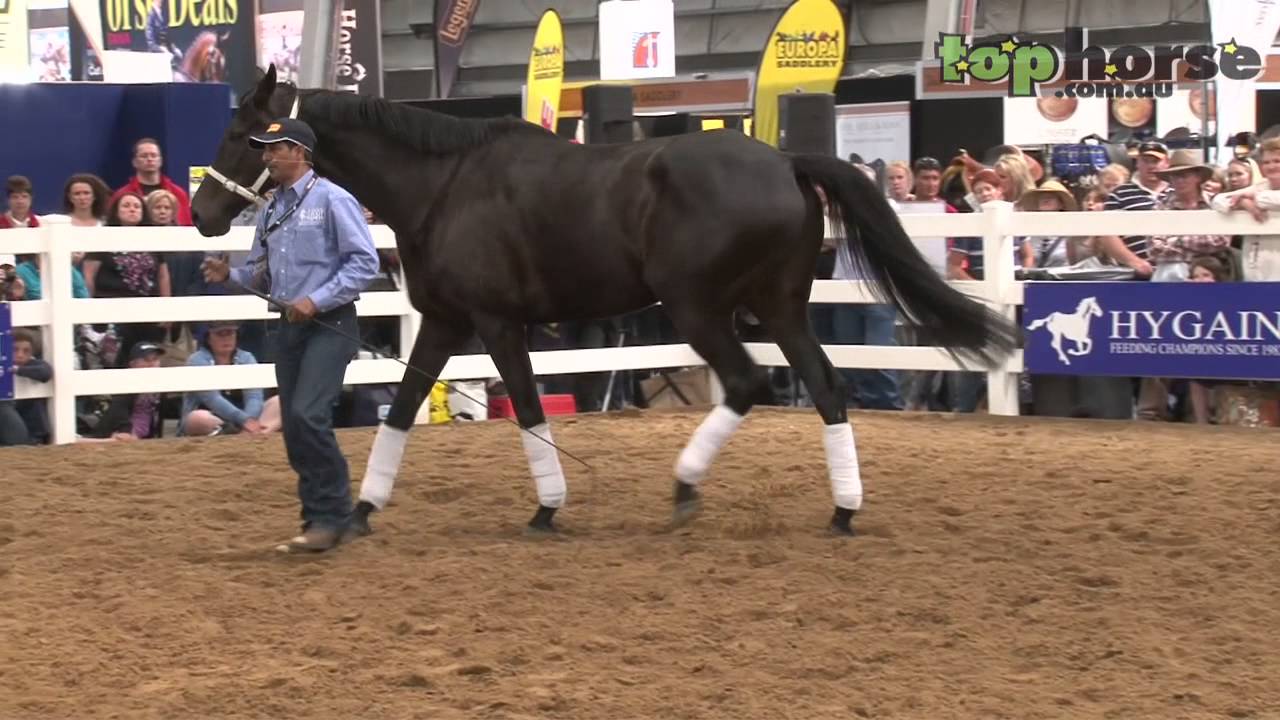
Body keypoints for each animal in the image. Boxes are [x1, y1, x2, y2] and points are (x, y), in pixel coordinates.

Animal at [190, 64, 1017, 537]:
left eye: (240, 133)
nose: (200, 213)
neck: (444, 186)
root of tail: (785, 161)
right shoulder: (447, 323)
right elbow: (399, 410)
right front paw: (361, 510)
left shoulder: (496, 324)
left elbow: (526, 408)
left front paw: (547, 507)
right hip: (781, 308)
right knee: (824, 386)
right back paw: (843, 509)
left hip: (698, 308)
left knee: (748, 382)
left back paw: (685, 490)